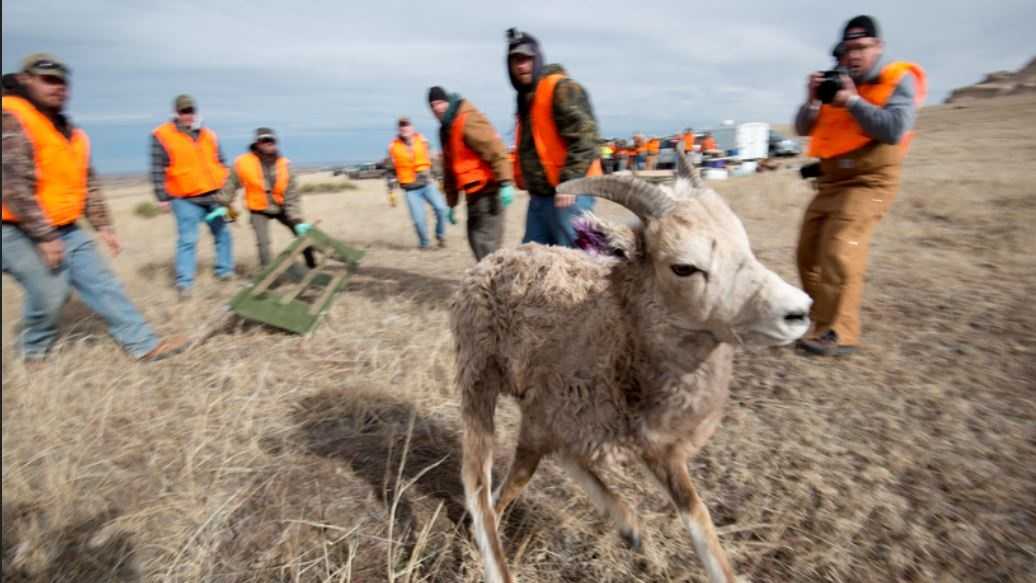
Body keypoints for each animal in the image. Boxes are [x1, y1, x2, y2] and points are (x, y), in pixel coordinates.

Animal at [448, 150, 812, 583]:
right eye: (684, 267)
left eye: (743, 243)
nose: (798, 312)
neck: (619, 336)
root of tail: (497, 256)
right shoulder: (542, 423)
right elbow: (509, 483)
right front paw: (483, 539)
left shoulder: (660, 447)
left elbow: (700, 520)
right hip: (479, 376)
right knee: (476, 474)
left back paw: (629, 526)